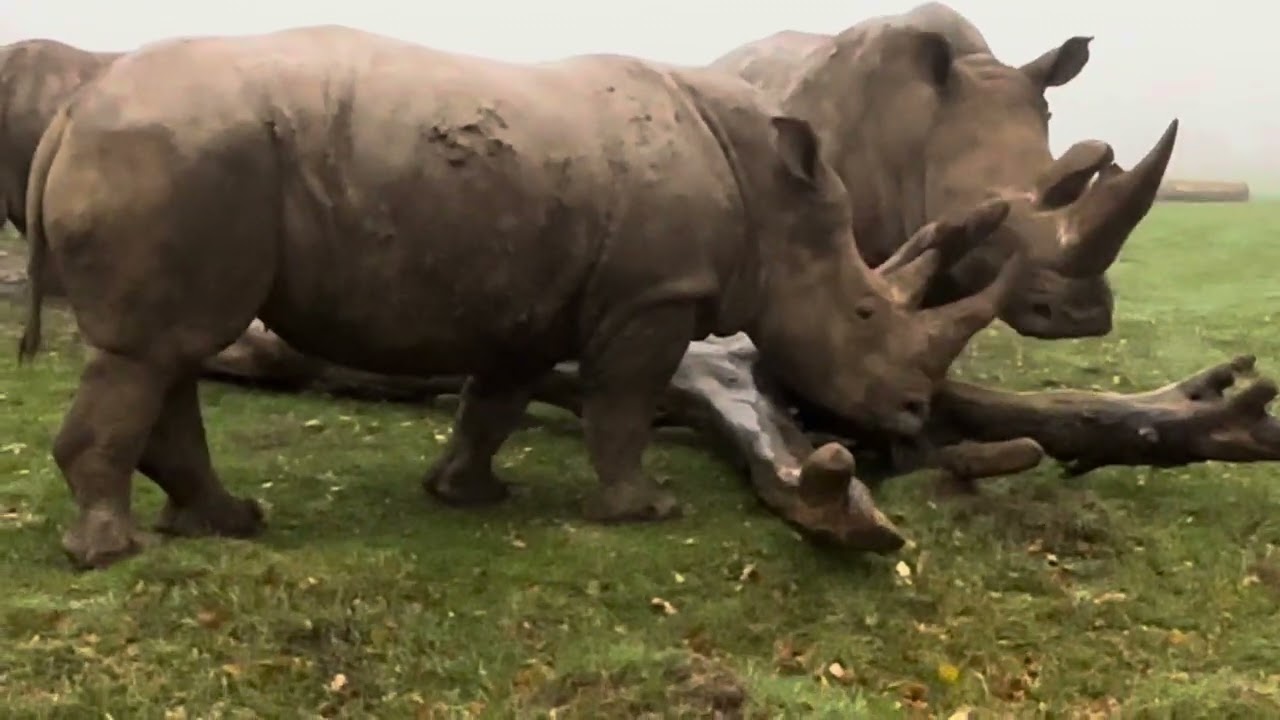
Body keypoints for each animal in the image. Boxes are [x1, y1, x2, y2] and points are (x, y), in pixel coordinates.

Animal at [18, 25, 1023, 569]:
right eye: (864, 315)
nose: (912, 411)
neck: (774, 205)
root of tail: (71, 110)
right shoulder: (652, 298)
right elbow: (622, 403)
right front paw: (646, 511)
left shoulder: (533, 301)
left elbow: (494, 400)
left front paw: (466, 496)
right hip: (177, 153)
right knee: (155, 351)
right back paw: (111, 552)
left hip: (182, 159)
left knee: (164, 350)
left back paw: (224, 525)